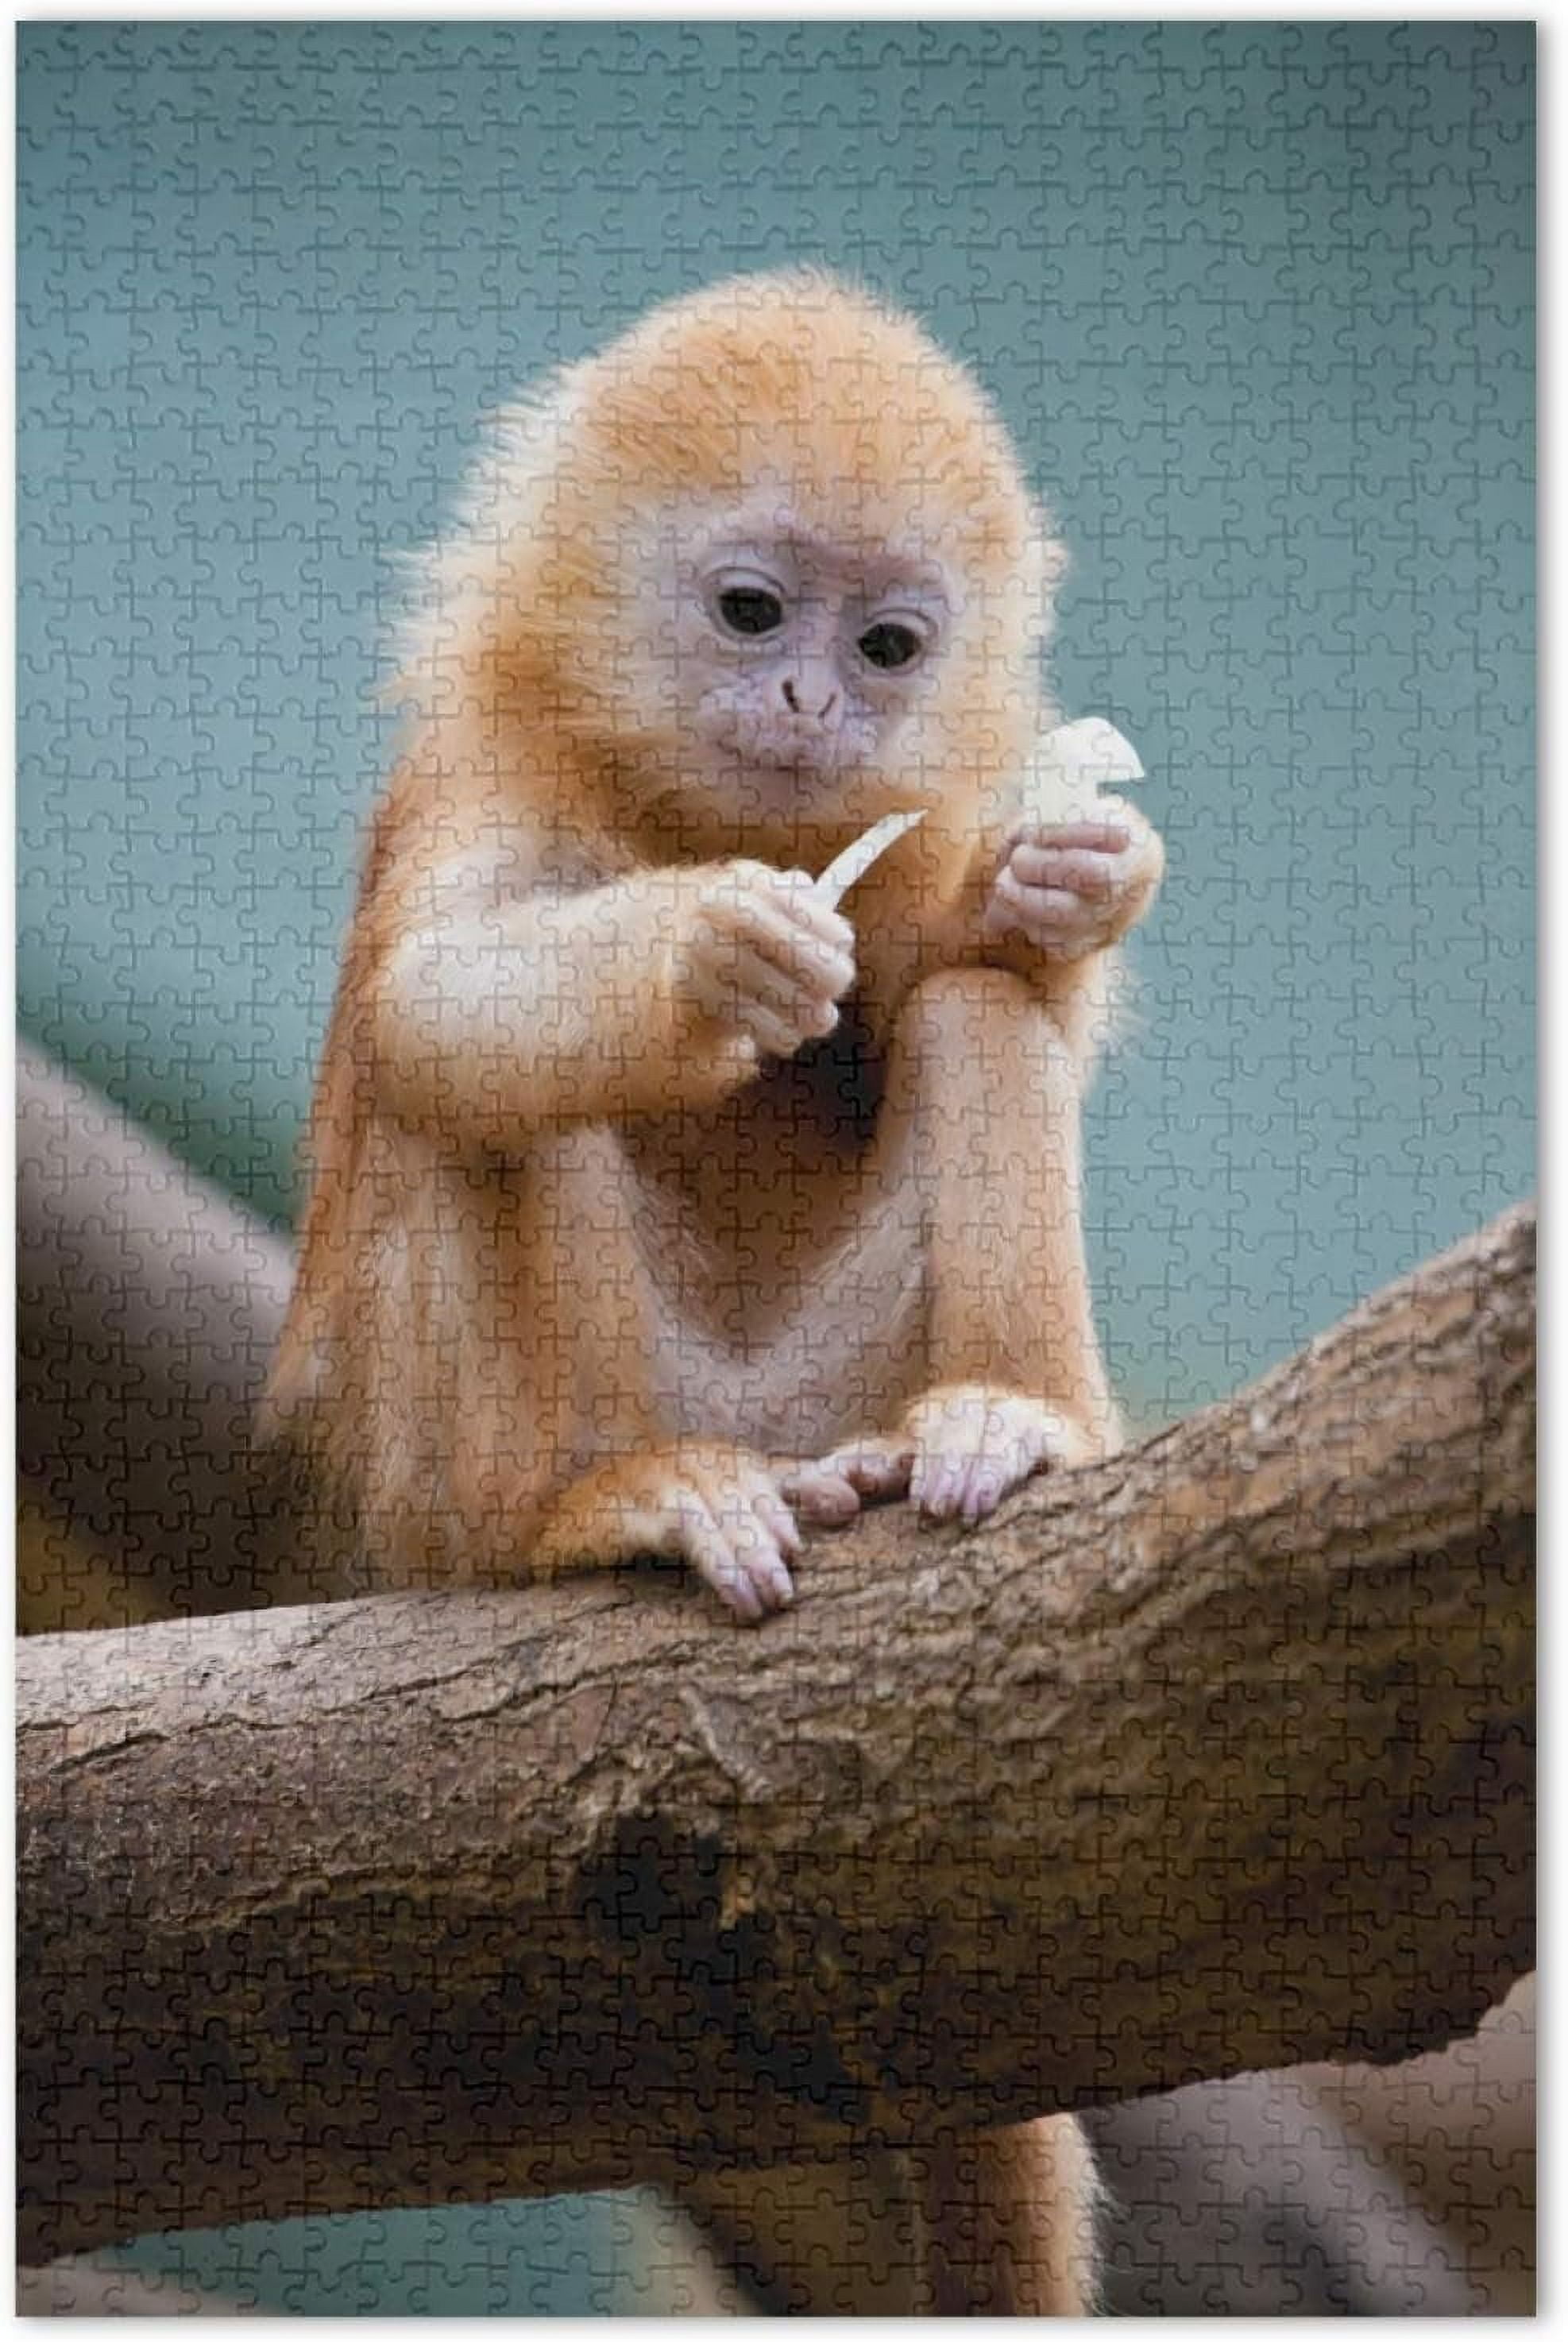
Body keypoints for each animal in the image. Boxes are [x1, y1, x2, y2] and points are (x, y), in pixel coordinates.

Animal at [265, 269, 1162, 2314]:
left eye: (890, 643)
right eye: (754, 611)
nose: (814, 697)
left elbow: (954, 978)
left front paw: (1074, 876)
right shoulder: (493, 781)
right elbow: (444, 1012)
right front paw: (705, 956)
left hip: (850, 1379)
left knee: (973, 1027)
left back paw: (1012, 1423)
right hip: (454, 1490)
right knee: (516, 1104)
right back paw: (621, 1501)